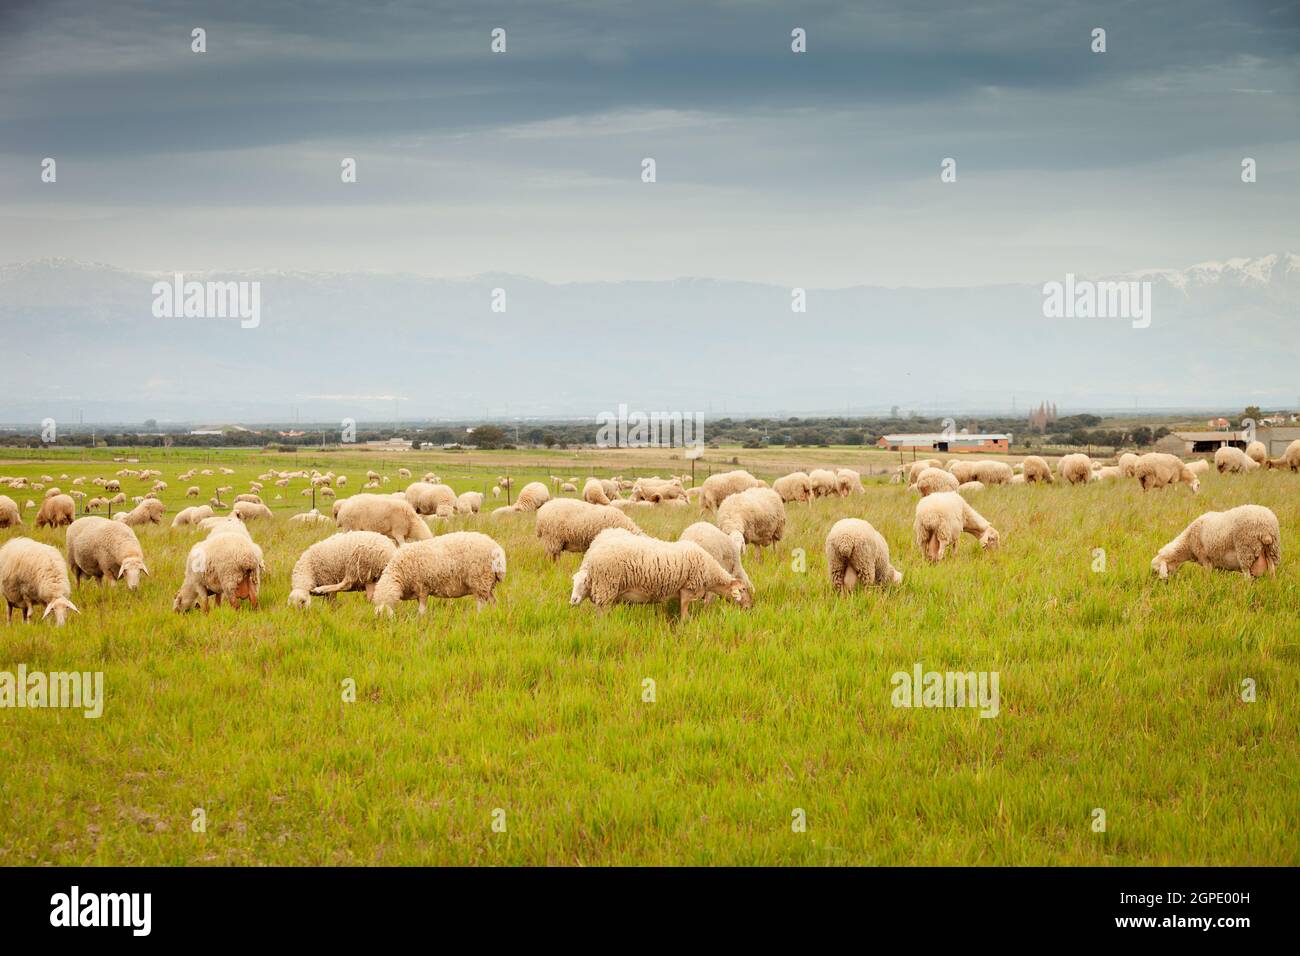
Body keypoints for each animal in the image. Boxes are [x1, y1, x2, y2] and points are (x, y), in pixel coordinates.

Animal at [372, 531, 506, 615]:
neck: (399, 573)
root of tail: (498, 551)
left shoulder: (422, 587)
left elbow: (422, 609)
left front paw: (421, 620)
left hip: (479, 581)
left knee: (481, 604)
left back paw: (478, 616)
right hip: (487, 584)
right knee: (494, 601)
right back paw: (494, 613)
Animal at [569, 527, 751, 619]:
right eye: (743, 590)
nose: (750, 607)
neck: (710, 574)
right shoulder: (688, 589)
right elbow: (684, 615)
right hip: (606, 588)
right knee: (601, 616)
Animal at [1151, 505, 1280, 580]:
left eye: (1156, 570)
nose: (1157, 583)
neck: (1188, 544)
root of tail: (1266, 526)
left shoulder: (1205, 558)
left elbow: (1207, 576)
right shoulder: (1218, 562)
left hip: (1245, 550)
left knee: (1247, 577)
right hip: (1272, 550)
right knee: (1272, 572)